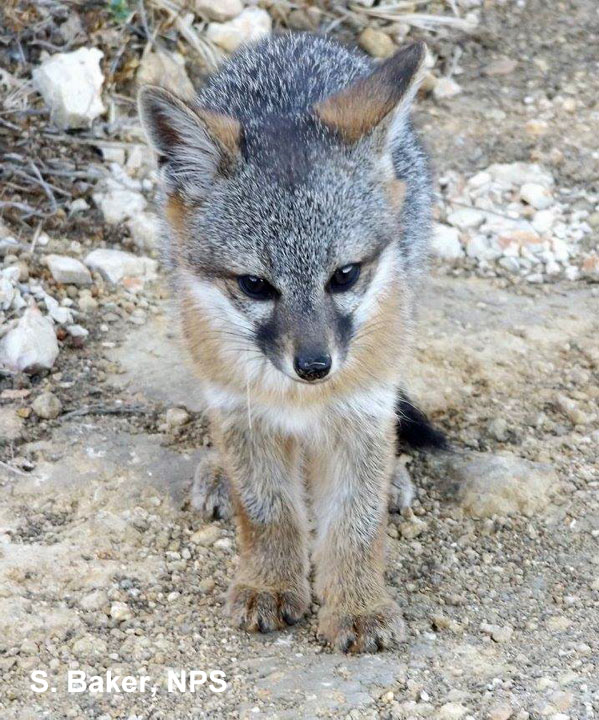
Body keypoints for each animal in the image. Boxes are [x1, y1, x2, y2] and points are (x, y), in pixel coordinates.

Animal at [139, 32, 444, 653]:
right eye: (255, 285)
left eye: (345, 275)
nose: (315, 366)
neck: (302, 402)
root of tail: (294, 39)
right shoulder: (241, 411)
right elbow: (266, 511)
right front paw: (270, 584)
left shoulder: (360, 409)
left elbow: (356, 522)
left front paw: (358, 605)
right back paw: (217, 471)